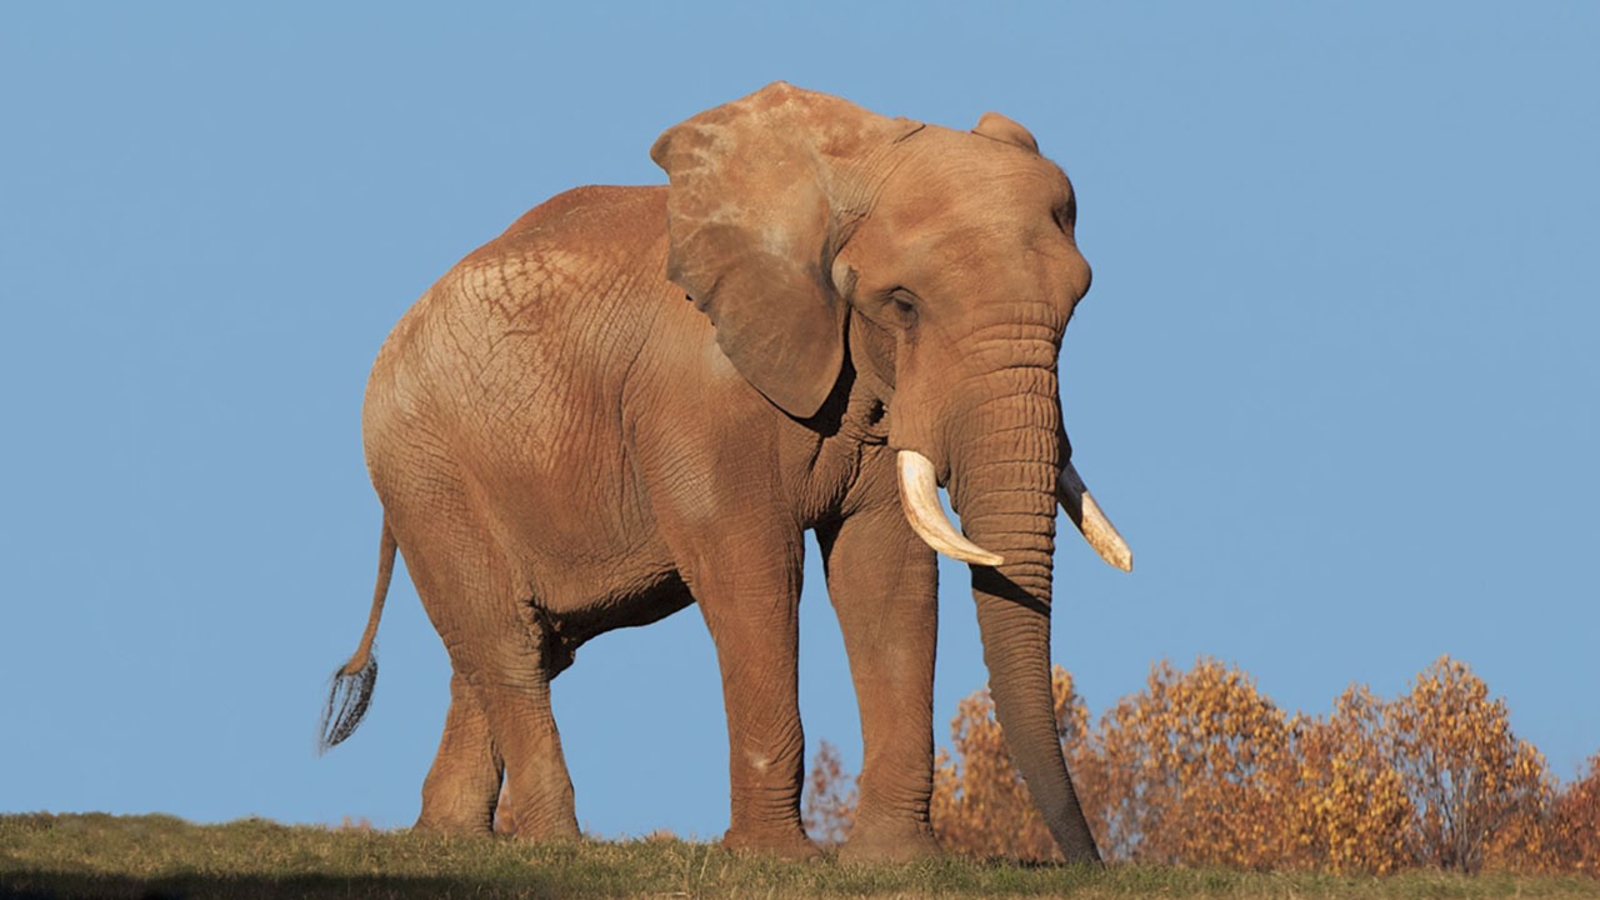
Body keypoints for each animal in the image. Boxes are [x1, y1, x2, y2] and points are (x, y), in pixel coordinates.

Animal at [320, 82, 1130, 864]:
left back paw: (451, 838)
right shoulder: (697, 394)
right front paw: (780, 859)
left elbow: (885, 571)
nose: (1088, 861)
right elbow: (753, 569)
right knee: (510, 645)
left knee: (512, 647)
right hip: (423, 464)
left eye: (1075, 305)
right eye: (903, 304)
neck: (844, 162)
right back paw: (555, 846)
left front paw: (898, 864)